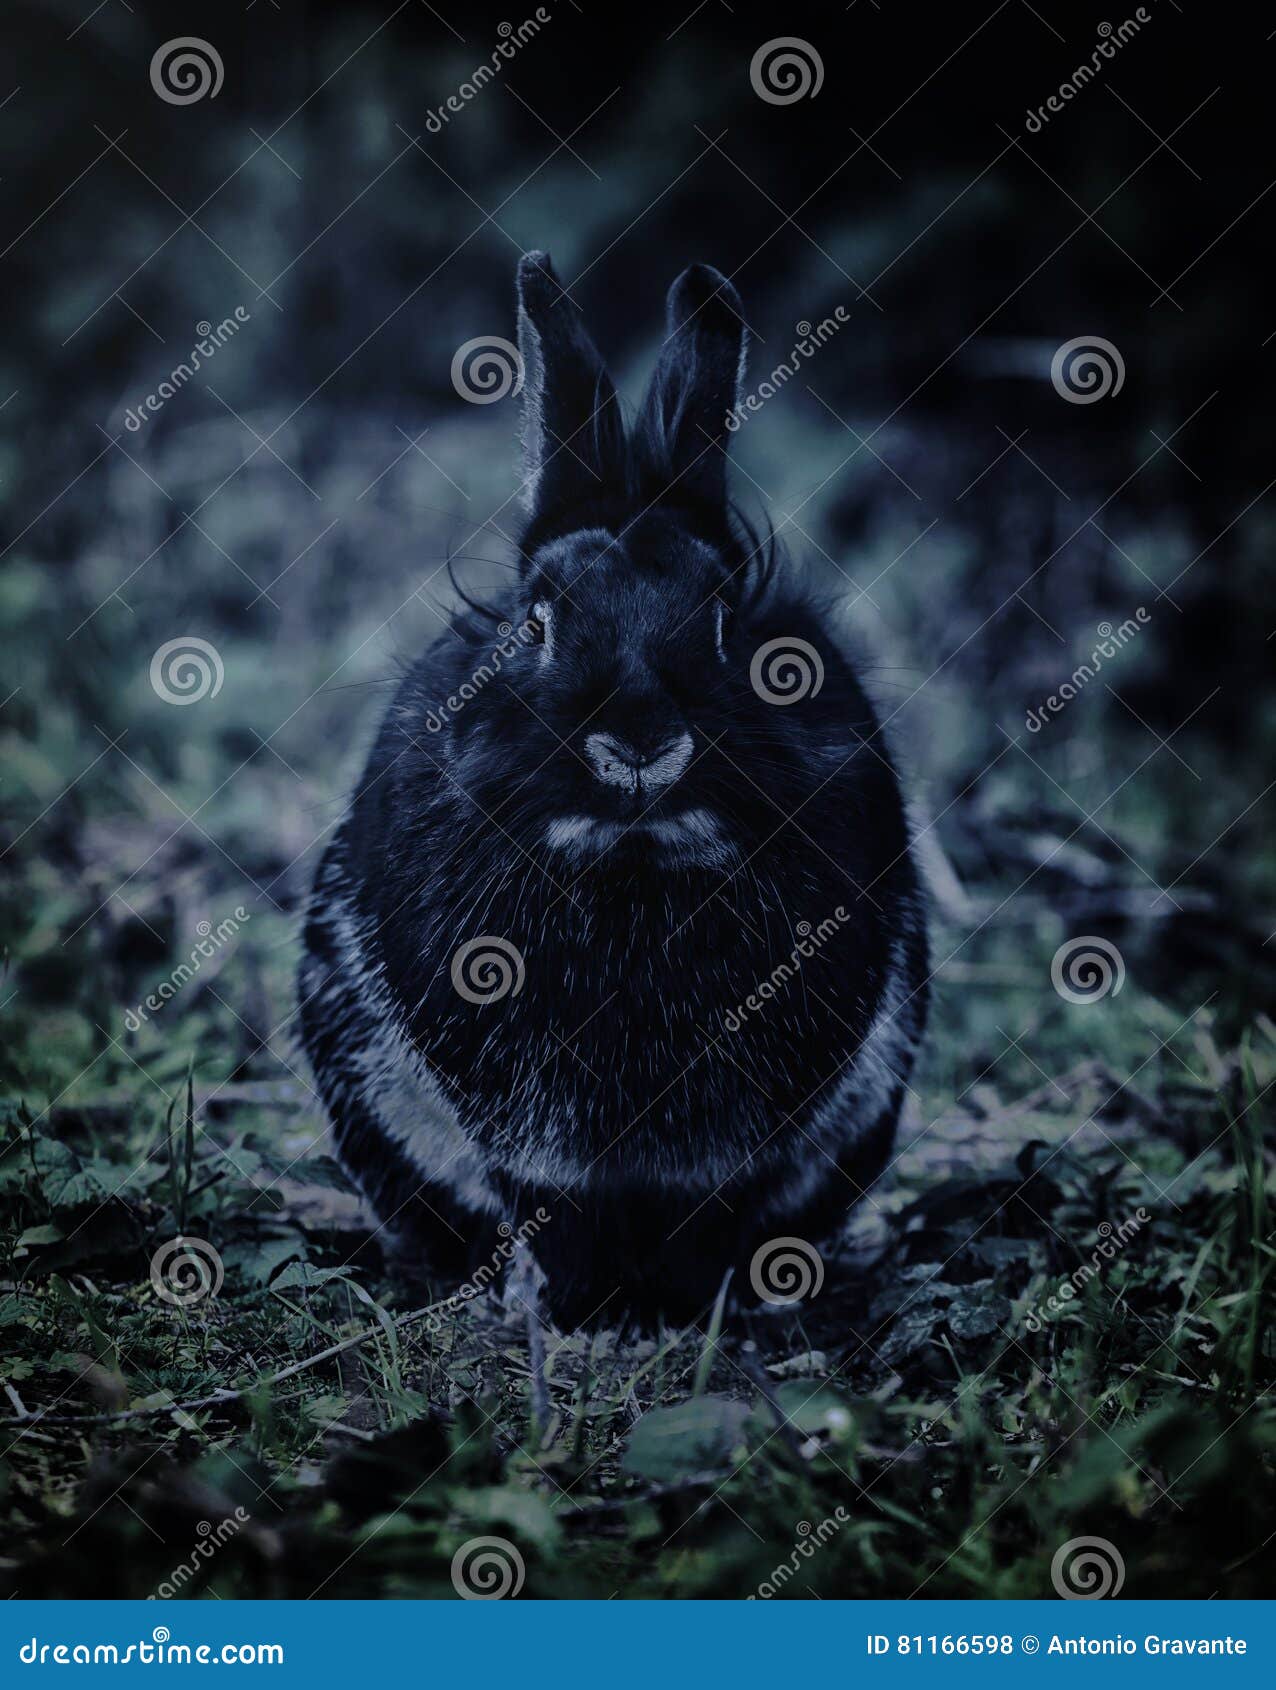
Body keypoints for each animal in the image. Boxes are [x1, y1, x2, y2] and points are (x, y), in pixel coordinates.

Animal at [298, 251, 929, 1334]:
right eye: (539, 619)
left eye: (721, 618)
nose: (639, 746)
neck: (632, 858)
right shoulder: (517, 1119)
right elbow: (546, 1204)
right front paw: (563, 1316)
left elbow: (707, 1214)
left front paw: (686, 1315)